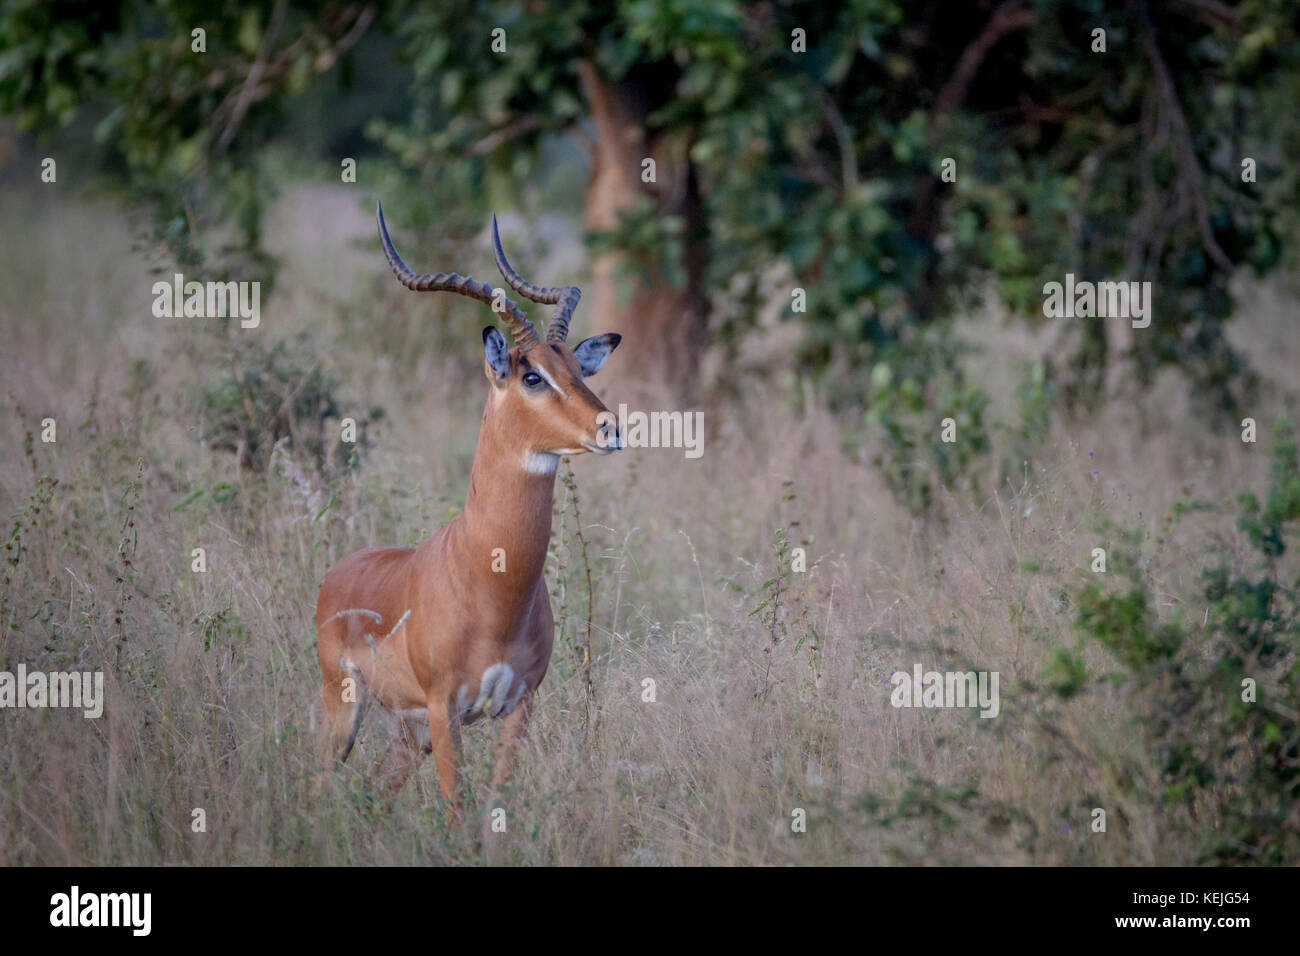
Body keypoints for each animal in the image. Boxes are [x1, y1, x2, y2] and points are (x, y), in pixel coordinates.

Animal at [315, 203, 622, 816]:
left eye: (579, 370)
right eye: (532, 375)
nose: (610, 427)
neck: (494, 586)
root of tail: (340, 572)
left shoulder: (518, 708)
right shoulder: (445, 710)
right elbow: (458, 813)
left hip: (406, 737)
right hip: (346, 708)